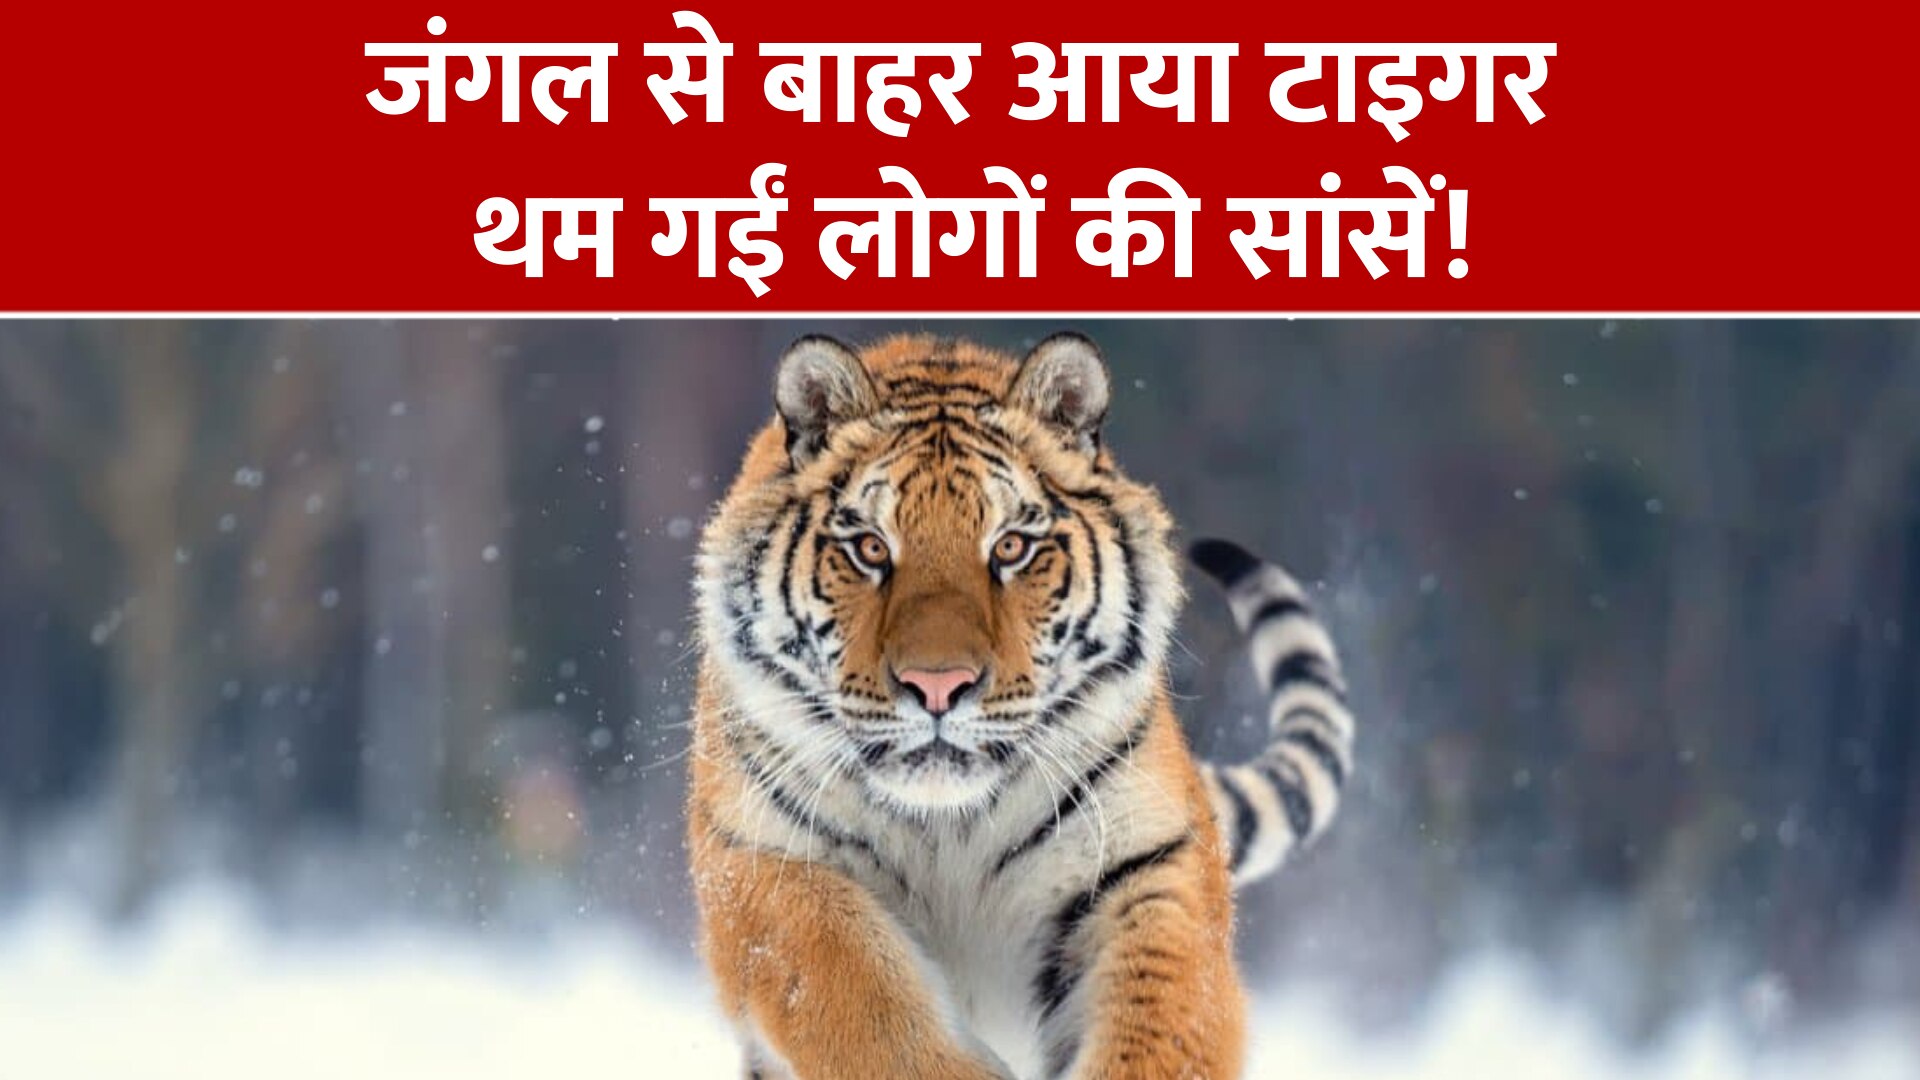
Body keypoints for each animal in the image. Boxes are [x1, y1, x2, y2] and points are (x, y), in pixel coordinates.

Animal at [687, 332, 1356, 1080]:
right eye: (869, 548)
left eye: (1010, 547)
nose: (939, 686)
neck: (946, 826)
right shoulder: (762, 865)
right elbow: (866, 1006)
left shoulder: (1146, 863)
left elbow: (1160, 1017)